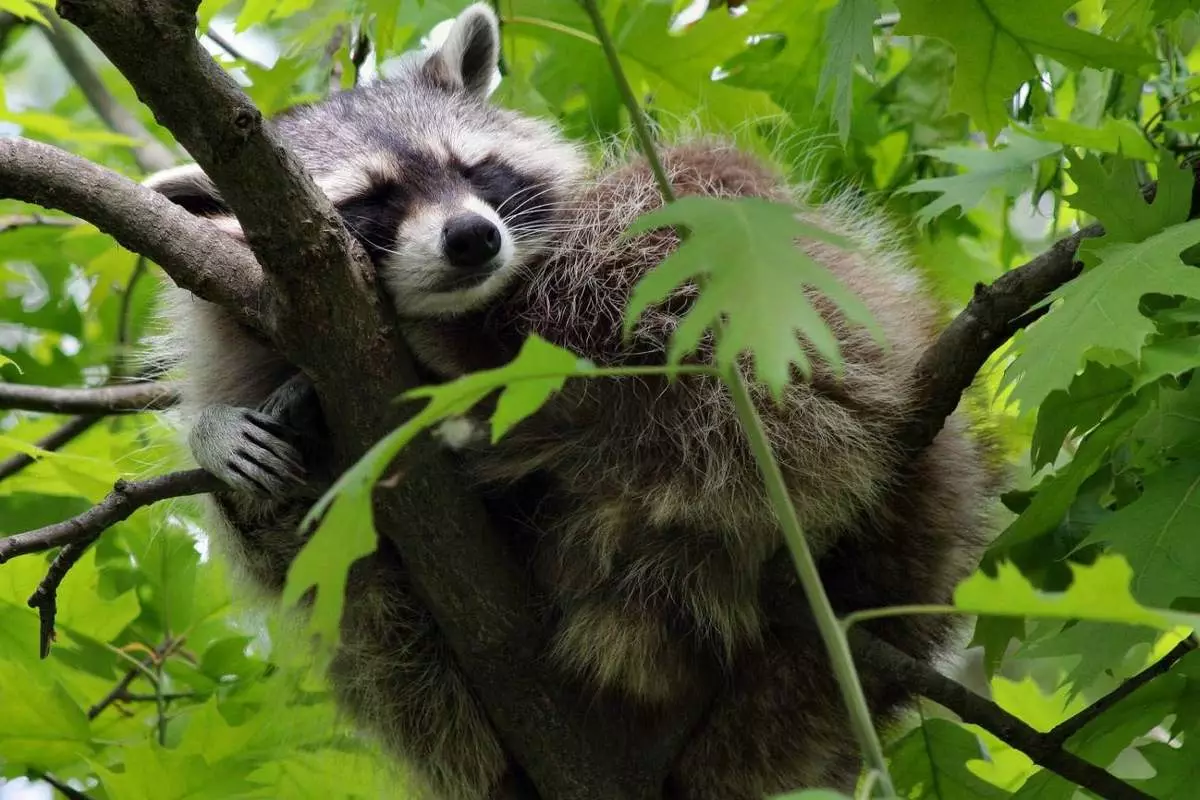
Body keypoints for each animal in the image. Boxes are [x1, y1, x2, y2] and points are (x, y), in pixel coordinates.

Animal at [142, 3, 993, 796]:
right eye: (371, 201)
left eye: (474, 169)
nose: (473, 240)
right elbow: (310, 561)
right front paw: (217, 431)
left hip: (841, 360)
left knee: (686, 204)